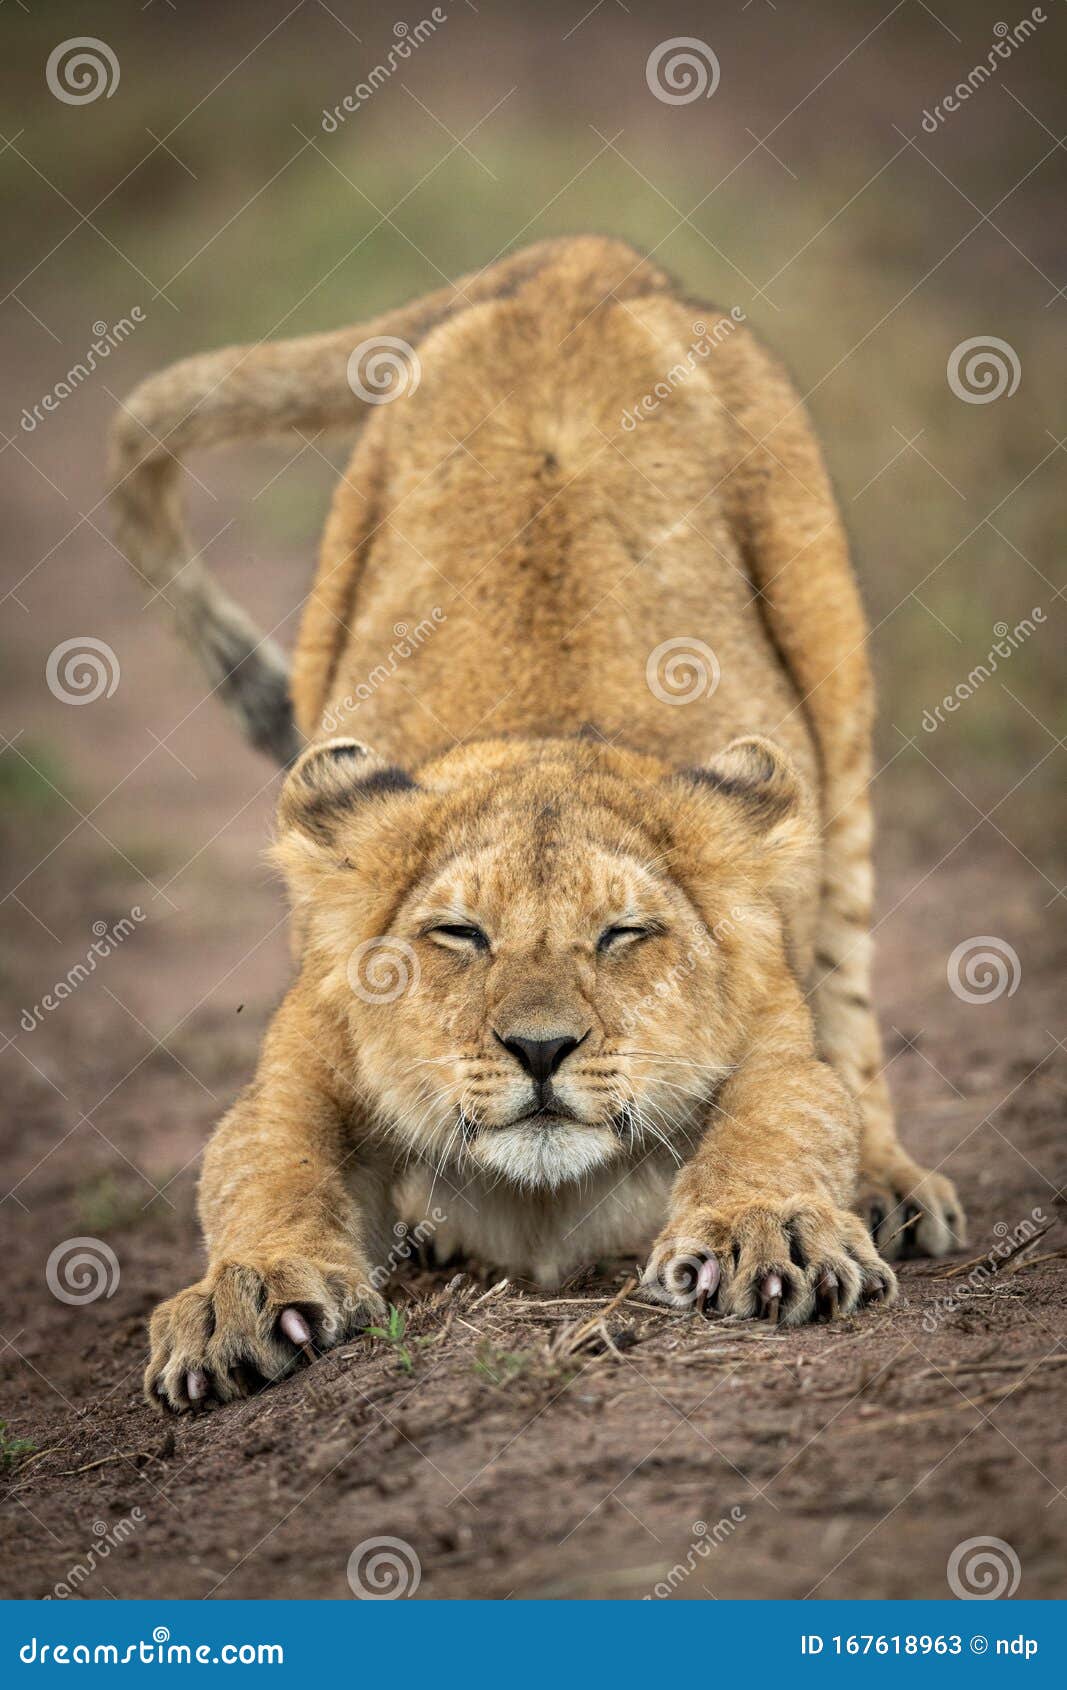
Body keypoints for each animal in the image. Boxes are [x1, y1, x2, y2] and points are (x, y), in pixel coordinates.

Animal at [110, 236, 964, 1412]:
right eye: (459, 935)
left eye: (623, 934)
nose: (541, 1048)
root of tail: (576, 262)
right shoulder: (302, 1061)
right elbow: (261, 1165)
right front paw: (237, 1296)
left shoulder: (771, 1024)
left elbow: (787, 1111)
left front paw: (766, 1229)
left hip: (828, 696)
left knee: (848, 996)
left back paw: (888, 1187)